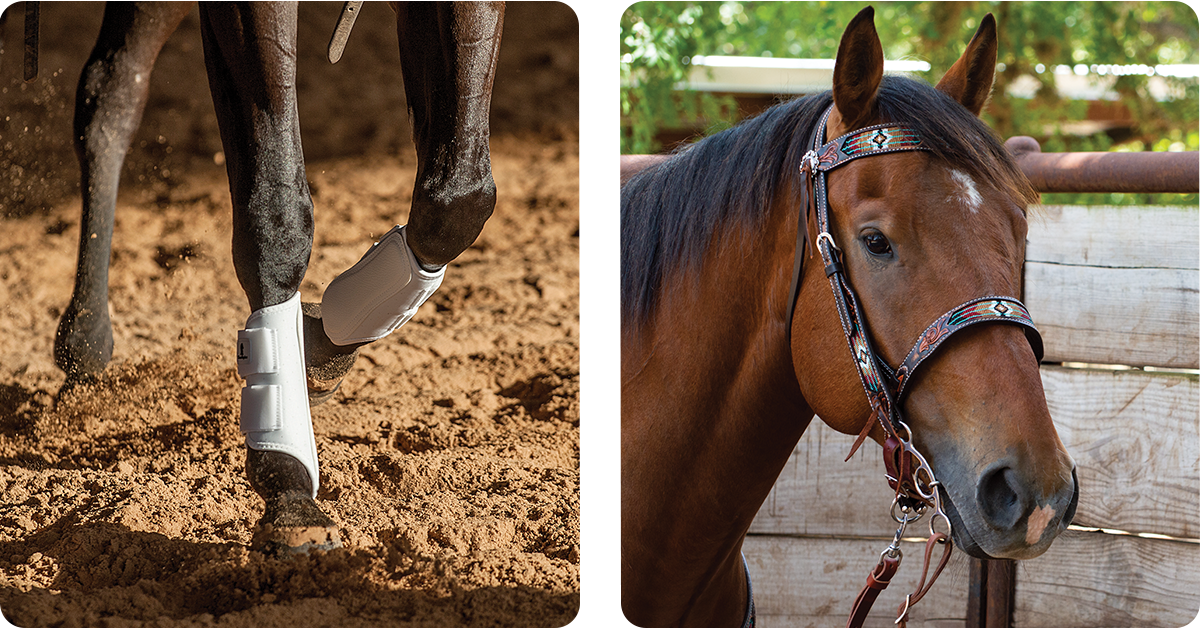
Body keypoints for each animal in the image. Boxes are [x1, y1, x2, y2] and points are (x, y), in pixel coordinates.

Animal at [51, 1, 503, 554]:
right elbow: (275, 209)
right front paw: (287, 480)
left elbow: (457, 199)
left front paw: (321, 343)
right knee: (110, 96)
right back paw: (84, 345)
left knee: (115, 90)